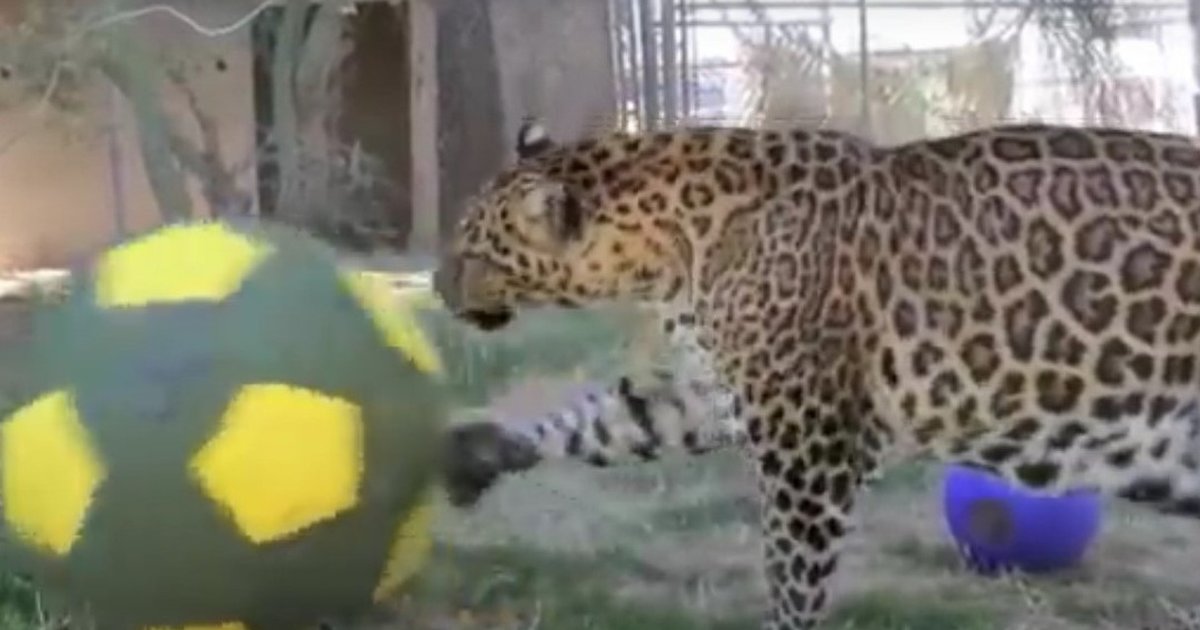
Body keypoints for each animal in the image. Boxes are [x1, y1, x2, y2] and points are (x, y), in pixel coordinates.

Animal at [433, 116, 1200, 629]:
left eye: (473, 250)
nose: (436, 287)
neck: (669, 246)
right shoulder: (720, 395)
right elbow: (612, 421)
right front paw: (483, 452)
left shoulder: (807, 446)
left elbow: (792, 575)